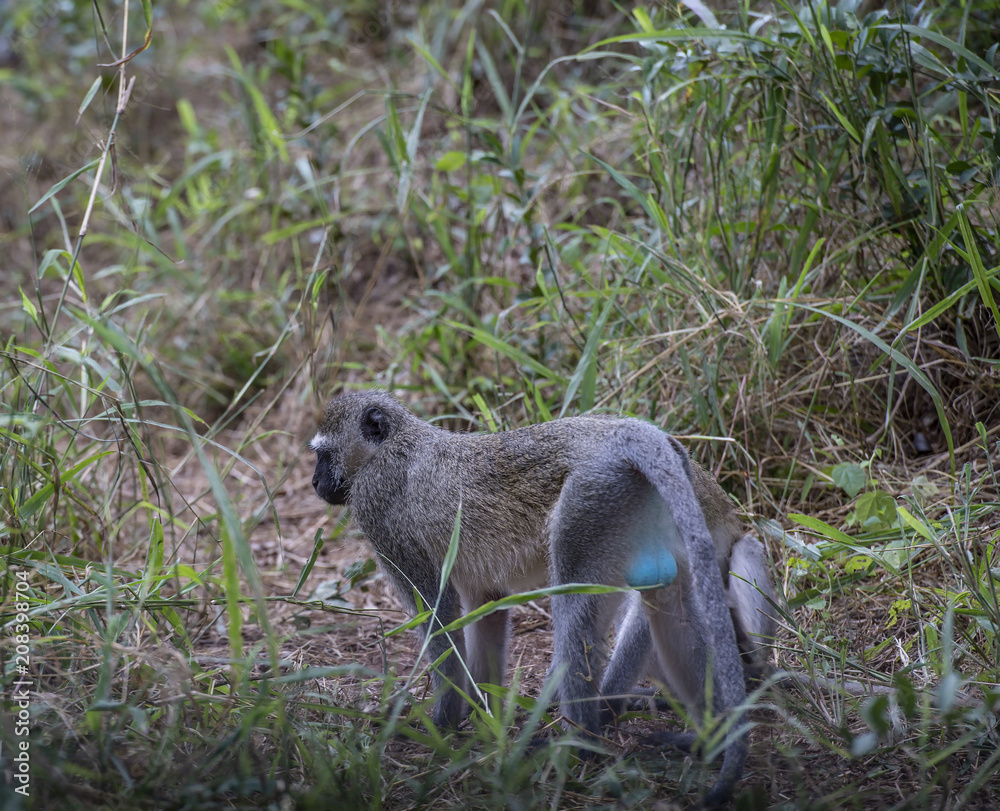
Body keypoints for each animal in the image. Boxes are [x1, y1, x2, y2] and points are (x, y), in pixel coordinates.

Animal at [310, 390, 777, 806]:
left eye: (323, 455)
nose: (316, 482)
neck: (395, 444)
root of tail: (626, 432)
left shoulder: (377, 508)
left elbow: (439, 616)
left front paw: (441, 722)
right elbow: (486, 609)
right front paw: (483, 717)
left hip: (590, 502)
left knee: (575, 605)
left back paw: (578, 742)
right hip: (641, 503)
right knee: (668, 600)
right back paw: (712, 740)